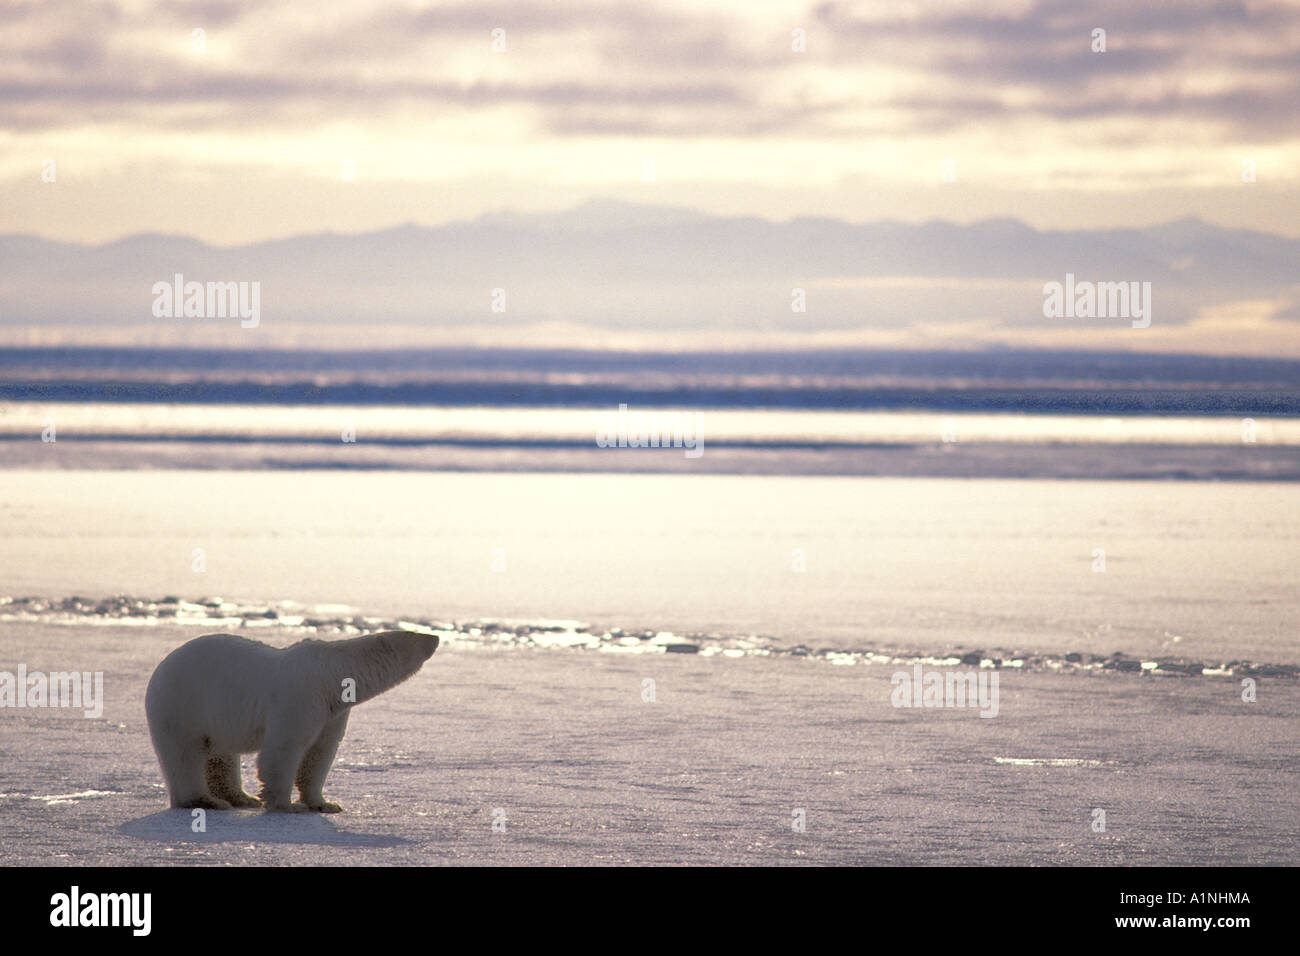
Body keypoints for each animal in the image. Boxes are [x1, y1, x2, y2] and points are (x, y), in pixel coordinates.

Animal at [145, 629, 438, 812]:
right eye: (414, 633)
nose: (436, 636)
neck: (331, 672)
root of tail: (158, 670)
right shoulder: (301, 697)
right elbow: (284, 748)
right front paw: (287, 805)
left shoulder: (332, 711)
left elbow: (320, 753)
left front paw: (324, 804)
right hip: (182, 706)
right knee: (185, 755)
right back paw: (205, 801)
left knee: (221, 756)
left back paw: (241, 797)